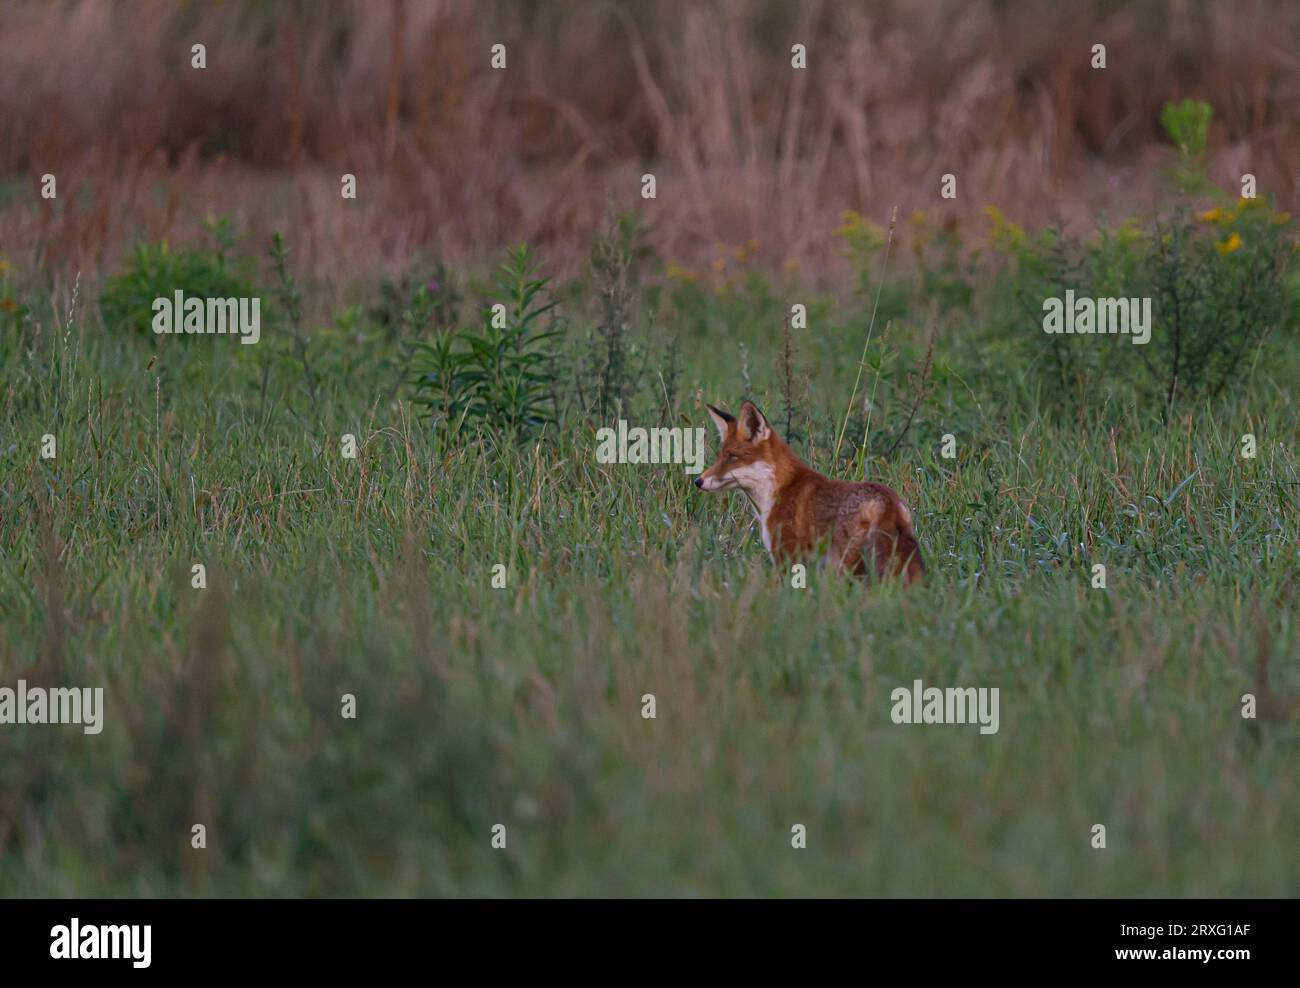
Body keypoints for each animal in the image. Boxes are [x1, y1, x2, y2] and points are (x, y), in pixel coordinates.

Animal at [694, 400, 924, 585]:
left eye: (733, 458)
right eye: (720, 457)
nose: (698, 481)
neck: (779, 490)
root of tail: (887, 501)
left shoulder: (787, 555)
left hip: (845, 566)